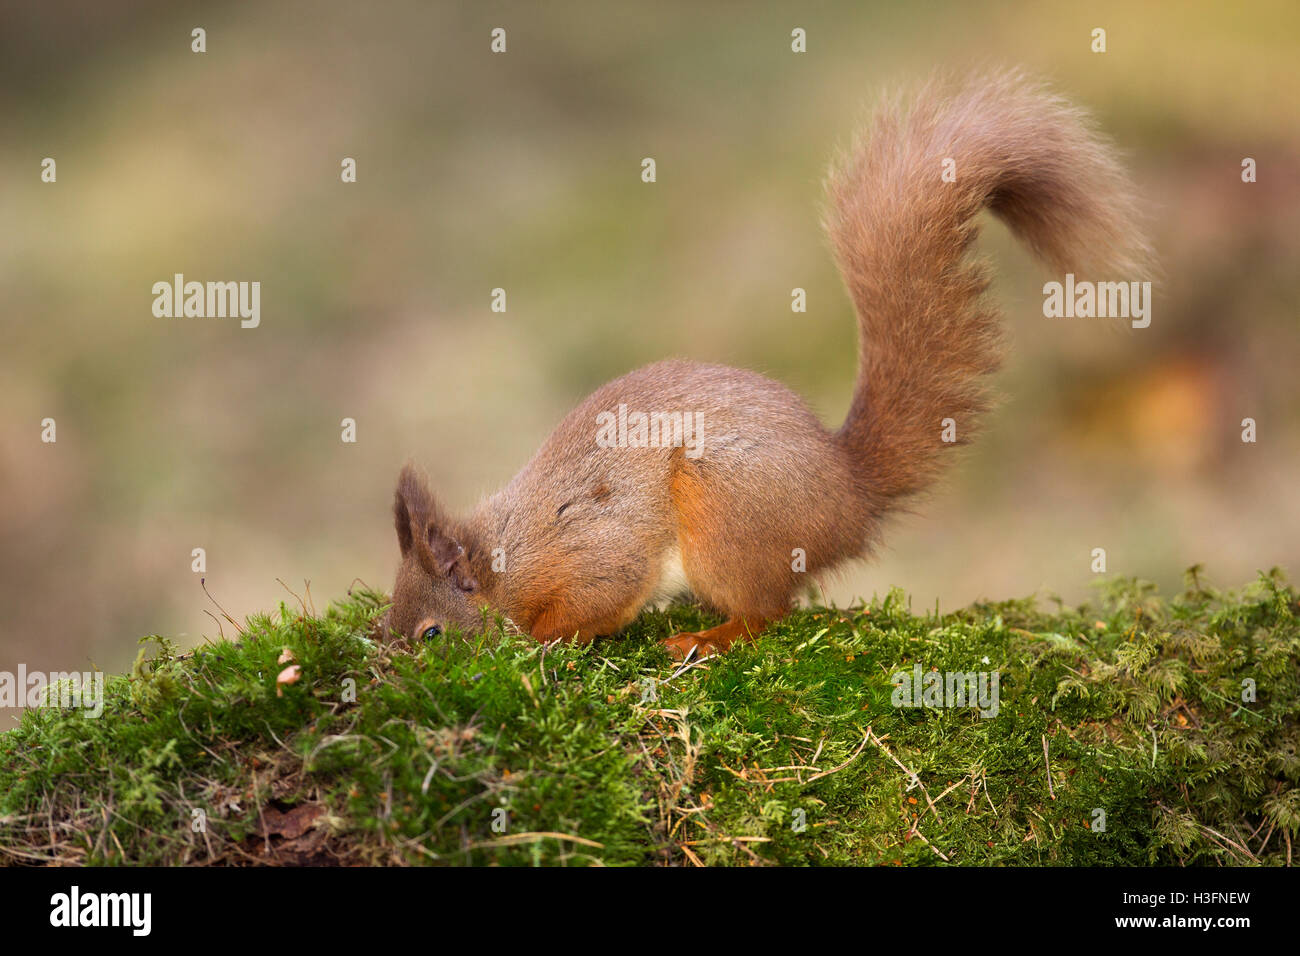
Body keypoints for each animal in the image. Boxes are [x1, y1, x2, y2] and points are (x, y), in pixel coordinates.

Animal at [383, 70, 1150, 660]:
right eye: (384, 620)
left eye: (428, 635)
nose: (388, 669)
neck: (506, 555)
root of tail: (848, 498)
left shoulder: (590, 556)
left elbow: (597, 601)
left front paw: (542, 645)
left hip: (723, 508)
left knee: (767, 610)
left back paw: (705, 638)